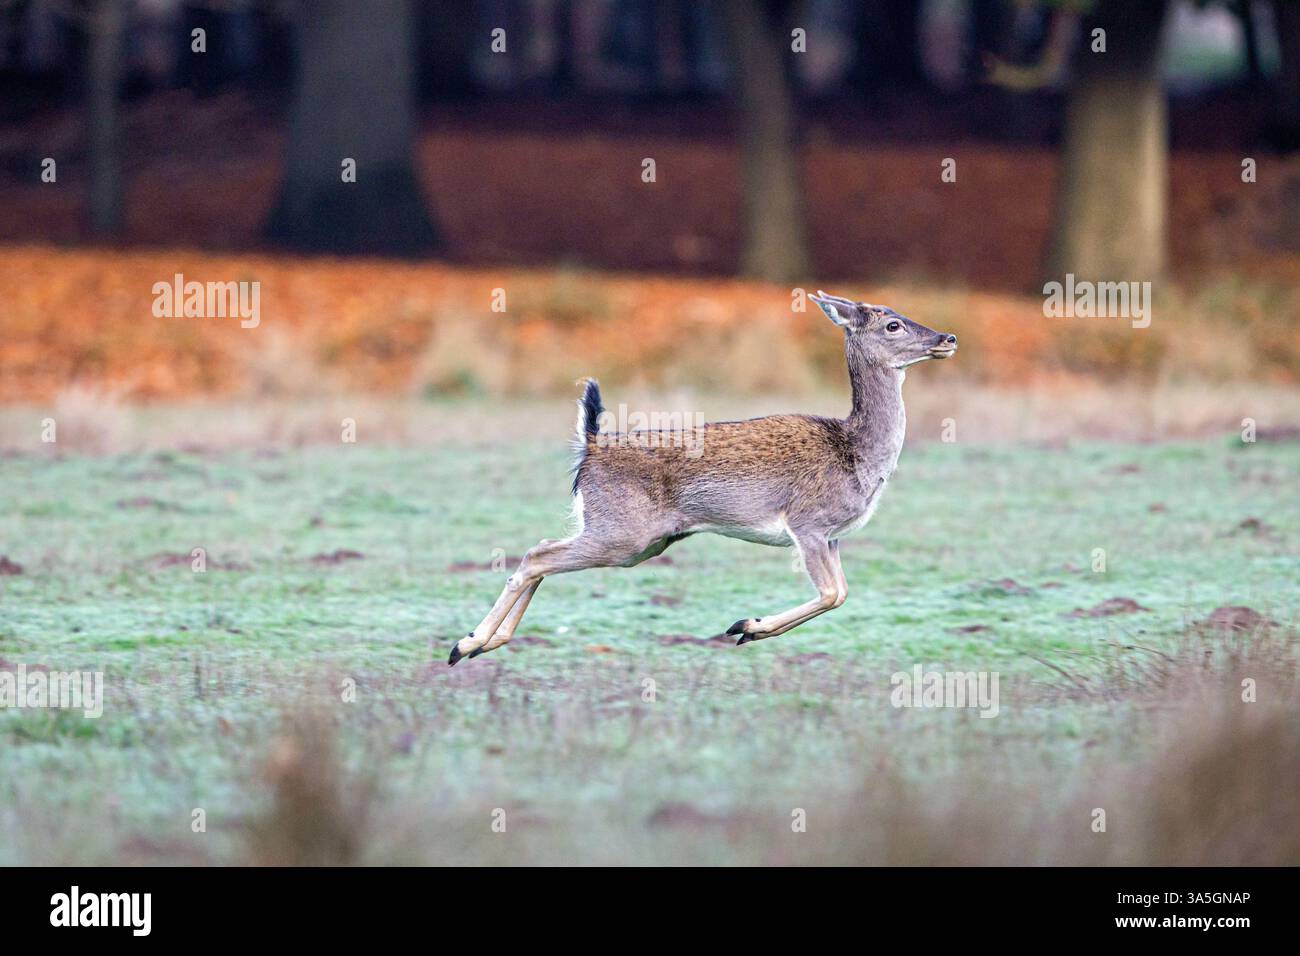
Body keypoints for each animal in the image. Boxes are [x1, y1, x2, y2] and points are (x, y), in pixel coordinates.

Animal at [447, 291, 957, 664]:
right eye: (892, 325)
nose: (948, 338)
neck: (857, 453)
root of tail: (588, 446)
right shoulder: (808, 522)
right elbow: (832, 593)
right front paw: (745, 627)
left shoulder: (831, 535)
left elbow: (843, 593)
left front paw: (748, 629)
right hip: (624, 532)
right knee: (539, 554)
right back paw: (464, 645)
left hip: (643, 541)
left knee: (543, 552)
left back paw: (482, 643)